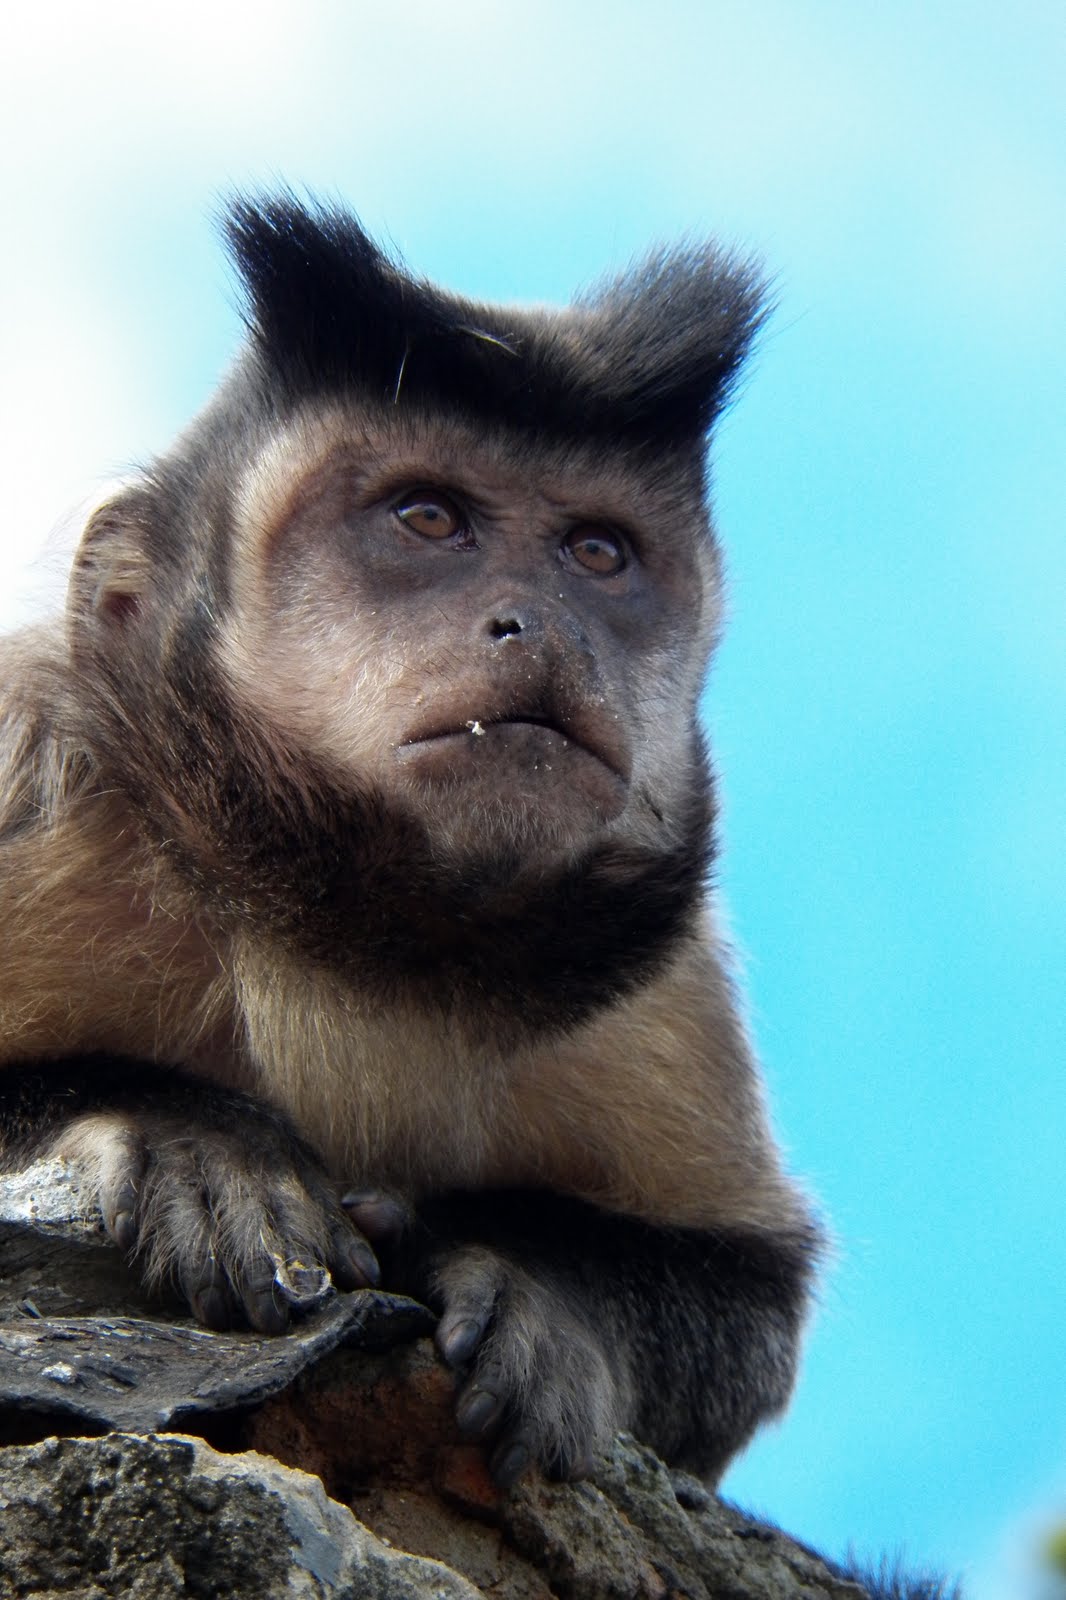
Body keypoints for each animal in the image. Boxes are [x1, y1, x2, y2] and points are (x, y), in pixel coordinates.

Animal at [0, 196, 821, 1490]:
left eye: (598, 553)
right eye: (427, 518)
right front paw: (182, 1134)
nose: (543, 623)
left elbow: (756, 1301)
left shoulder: (663, 975)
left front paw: (542, 1285)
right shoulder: (41, 776)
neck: (340, 919)